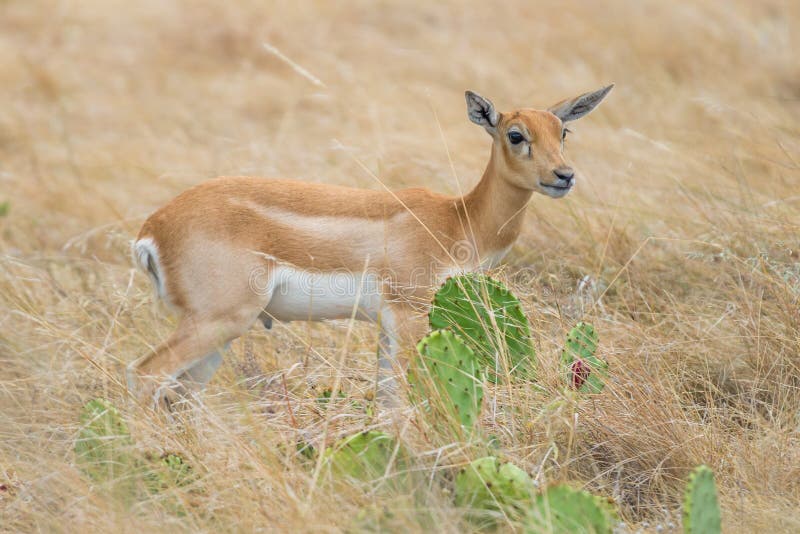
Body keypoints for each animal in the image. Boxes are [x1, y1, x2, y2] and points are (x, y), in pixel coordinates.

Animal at [128, 85, 613, 409]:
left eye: (563, 131)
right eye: (515, 134)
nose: (564, 176)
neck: (459, 220)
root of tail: (152, 228)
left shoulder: (385, 325)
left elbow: (386, 401)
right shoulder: (410, 314)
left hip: (222, 332)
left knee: (184, 394)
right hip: (218, 320)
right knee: (146, 375)